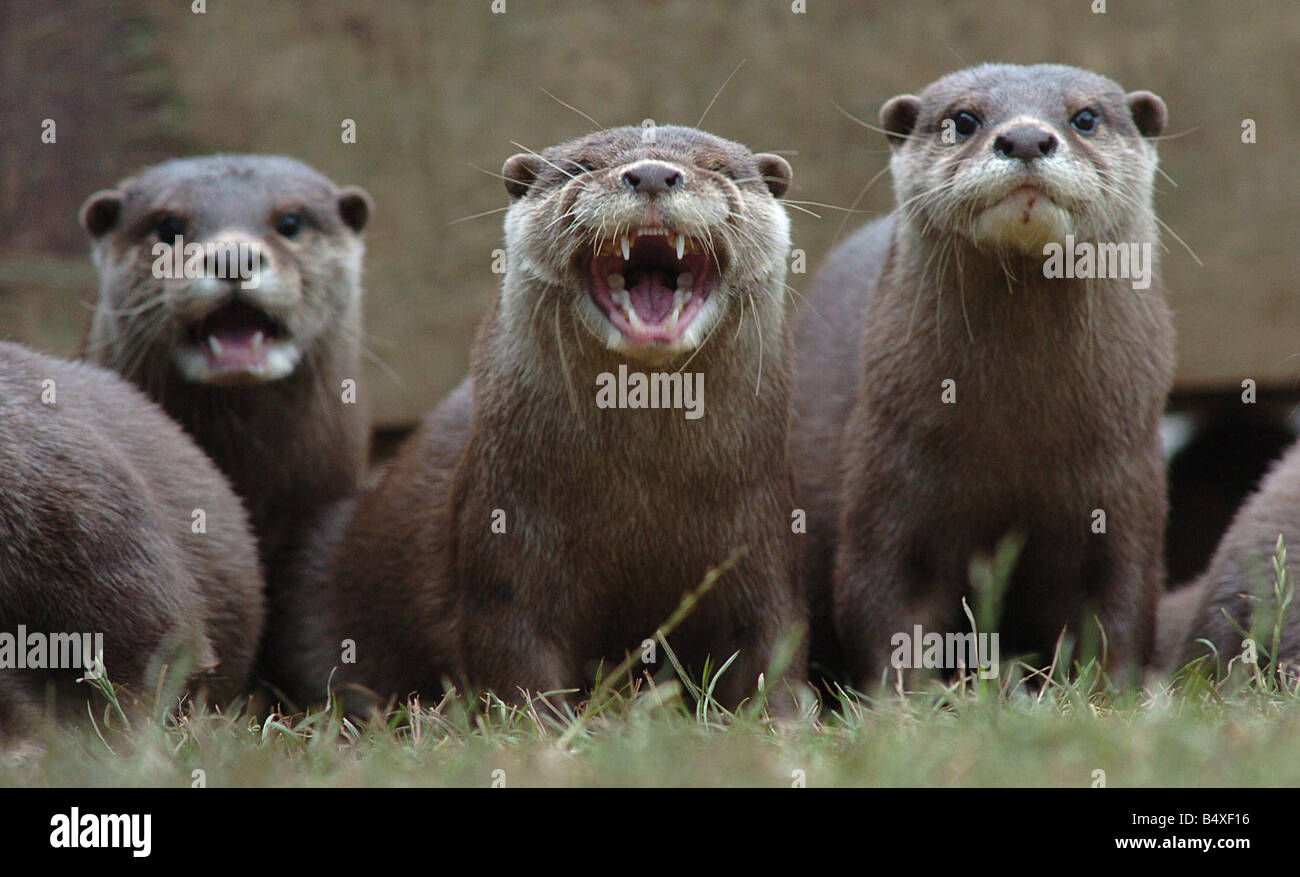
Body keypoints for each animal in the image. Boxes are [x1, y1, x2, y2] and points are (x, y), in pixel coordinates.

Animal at [284, 125, 806, 711]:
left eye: (720, 168)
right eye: (581, 167)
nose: (652, 174)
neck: (644, 506)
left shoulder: (765, 538)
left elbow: (772, 642)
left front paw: (783, 718)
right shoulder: (505, 546)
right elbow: (516, 657)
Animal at [792, 64, 1172, 687]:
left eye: (1085, 117)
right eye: (964, 119)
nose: (1025, 138)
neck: (1015, 433)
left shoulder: (1125, 488)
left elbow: (1120, 606)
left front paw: (1111, 693)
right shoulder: (891, 473)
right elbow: (883, 601)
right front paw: (904, 700)